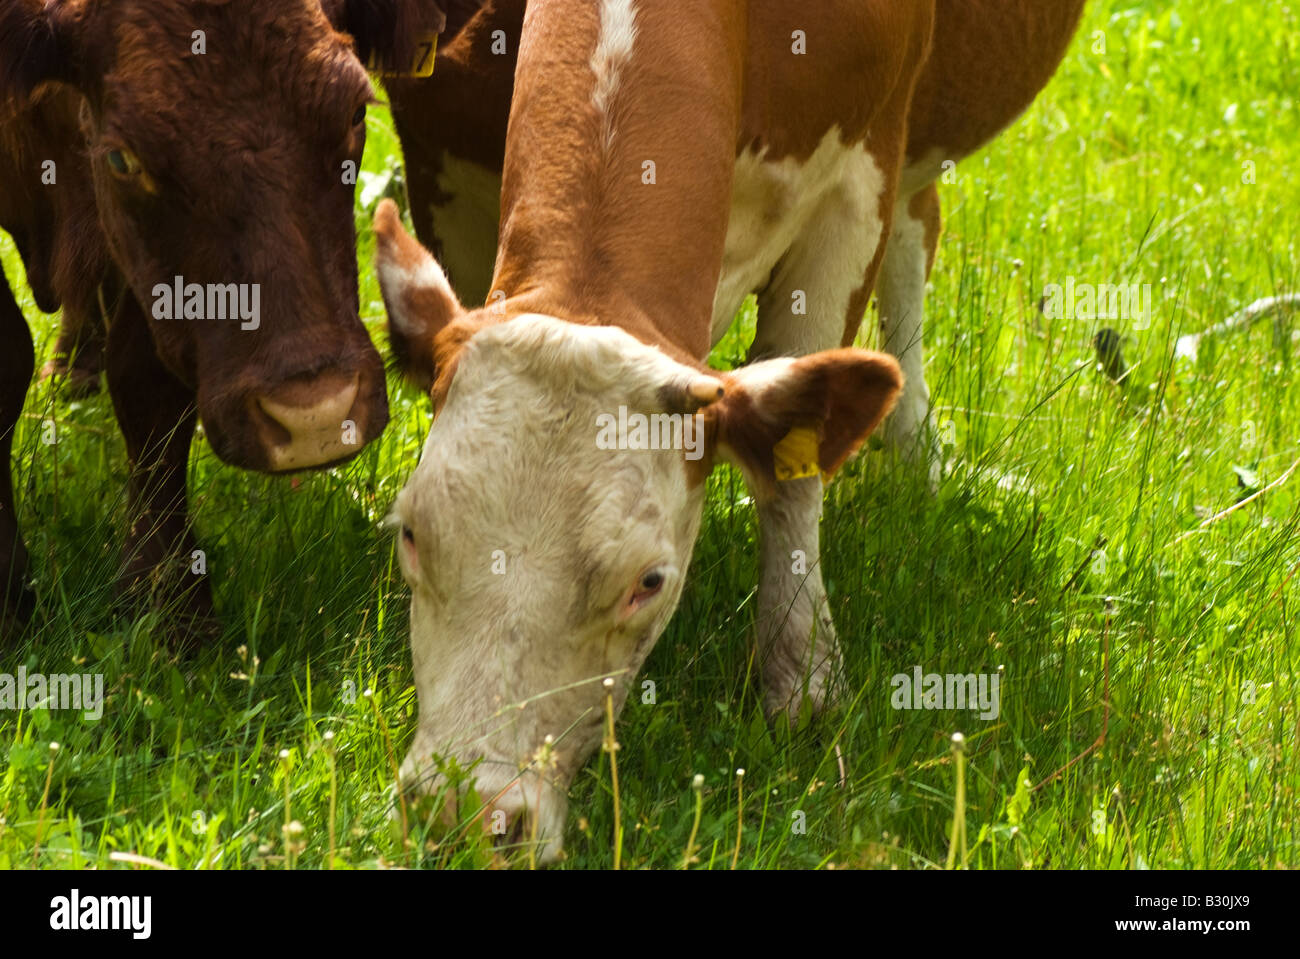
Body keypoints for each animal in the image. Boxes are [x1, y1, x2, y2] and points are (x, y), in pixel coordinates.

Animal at [0, 0, 448, 641]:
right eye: (122, 158)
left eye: (355, 112)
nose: (314, 415)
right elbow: (7, 357)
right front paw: (10, 599)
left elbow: (148, 390)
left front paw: (170, 609)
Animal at [376, 0, 1087, 861]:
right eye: (412, 534)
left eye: (649, 582)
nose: (462, 815)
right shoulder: (444, 161)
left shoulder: (859, 176)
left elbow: (794, 473)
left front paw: (803, 677)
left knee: (917, 235)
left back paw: (918, 456)